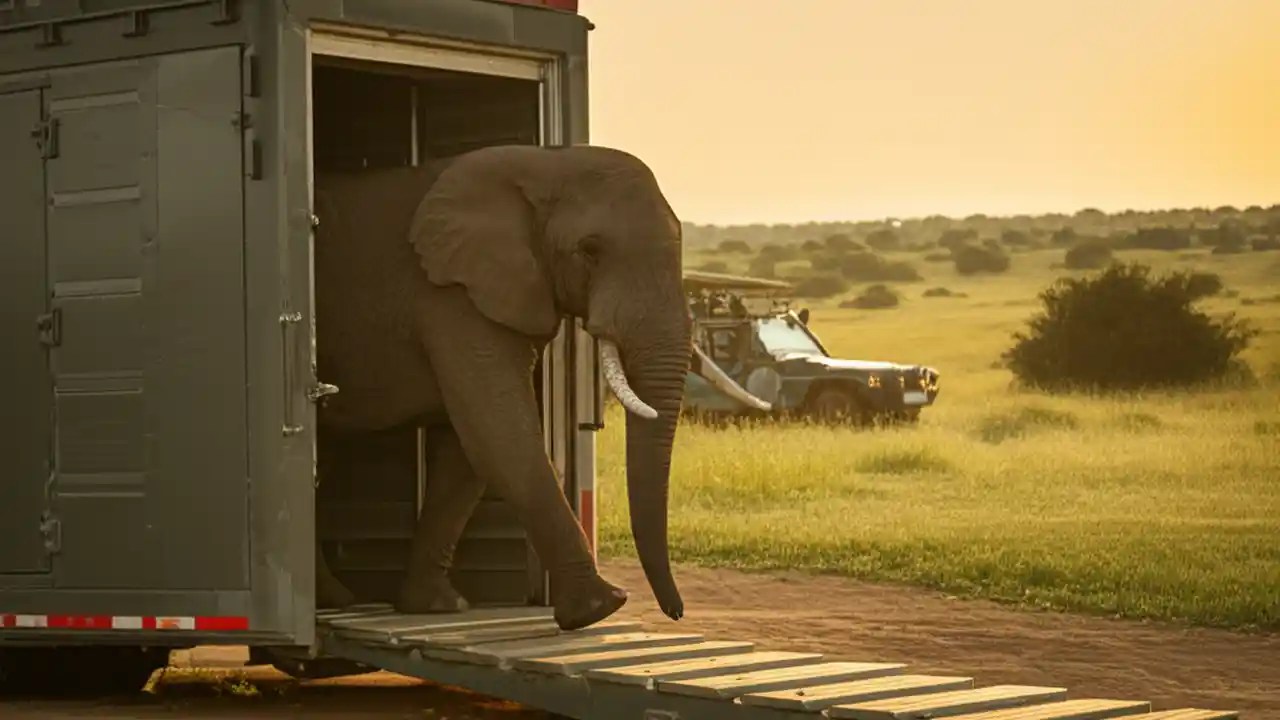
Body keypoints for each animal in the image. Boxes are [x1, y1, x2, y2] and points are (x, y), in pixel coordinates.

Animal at [309, 144, 772, 631]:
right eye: (590, 250)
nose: (677, 613)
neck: (543, 163)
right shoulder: (448, 294)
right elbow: (499, 433)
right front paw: (601, 607)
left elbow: (468, 447)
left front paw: (437, 607)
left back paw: (336, 601)